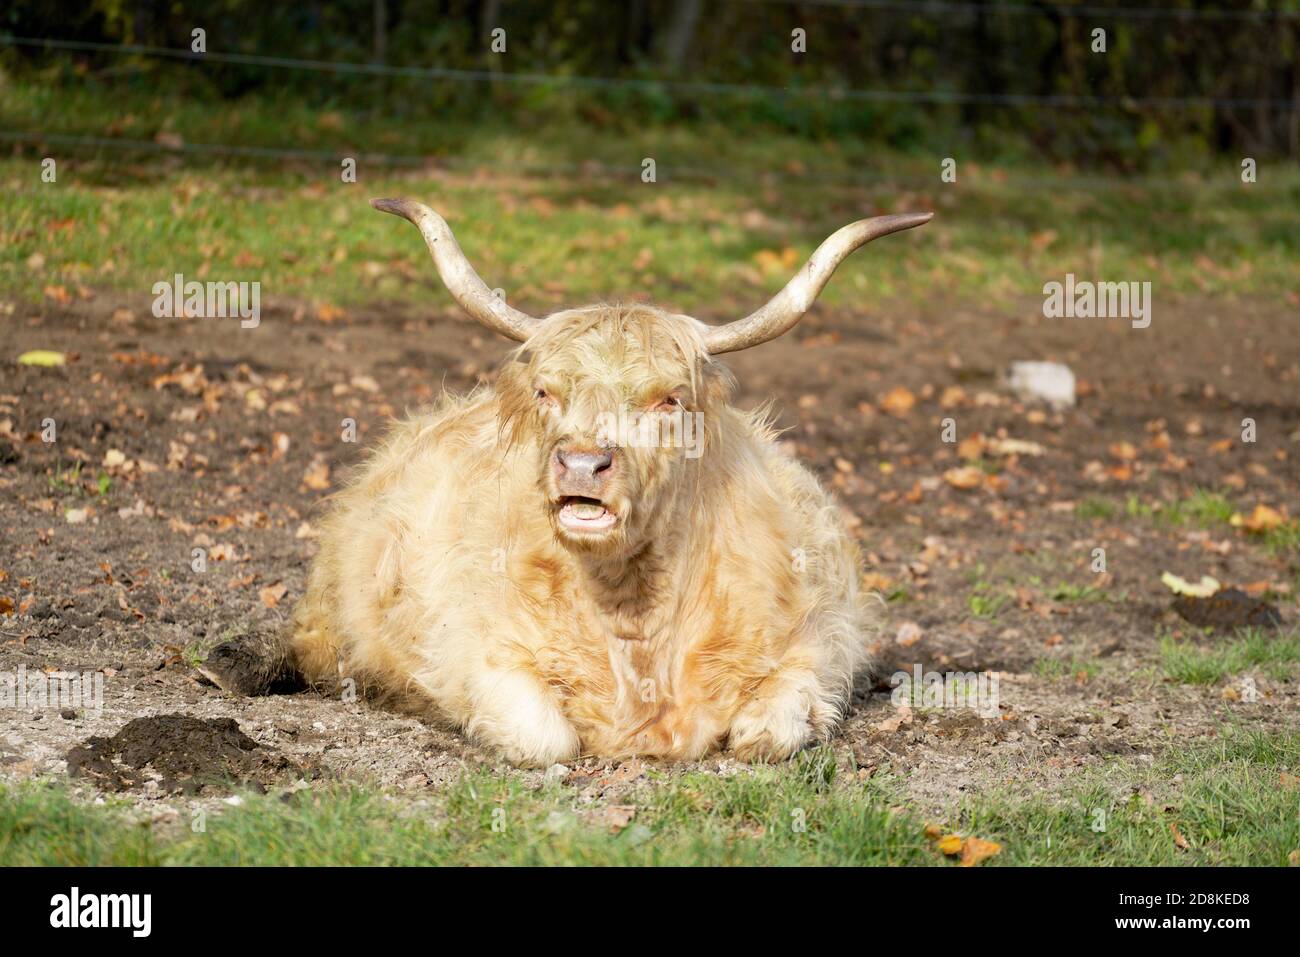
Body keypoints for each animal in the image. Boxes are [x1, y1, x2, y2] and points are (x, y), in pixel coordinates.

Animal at [201, 198, 932, 766]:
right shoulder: (476, 651)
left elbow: (768, 729)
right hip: (335, 598)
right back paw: (229, 663)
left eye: (669, 399)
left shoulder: (822, 641)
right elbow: (543, 737)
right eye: (547, 391)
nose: (581, 464)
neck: (634, 623)